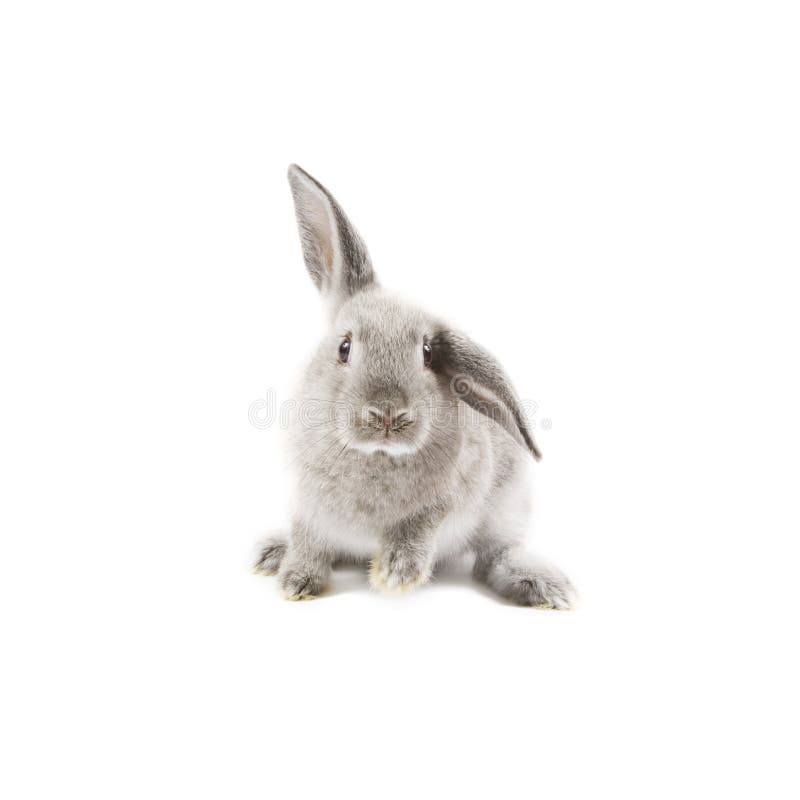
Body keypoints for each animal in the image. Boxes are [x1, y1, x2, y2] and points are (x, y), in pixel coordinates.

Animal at [253, 164, 576, 608]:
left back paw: (542, 585)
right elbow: (308, 540)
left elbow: (421, 523)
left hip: (507, 508)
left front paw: (396, 573)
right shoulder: (306, 504)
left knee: (494, 557)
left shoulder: (450, 498)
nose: (388, 414)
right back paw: (272, 551)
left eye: (427, 353)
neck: (377, 457)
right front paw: (296, 581)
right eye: (344, 347)